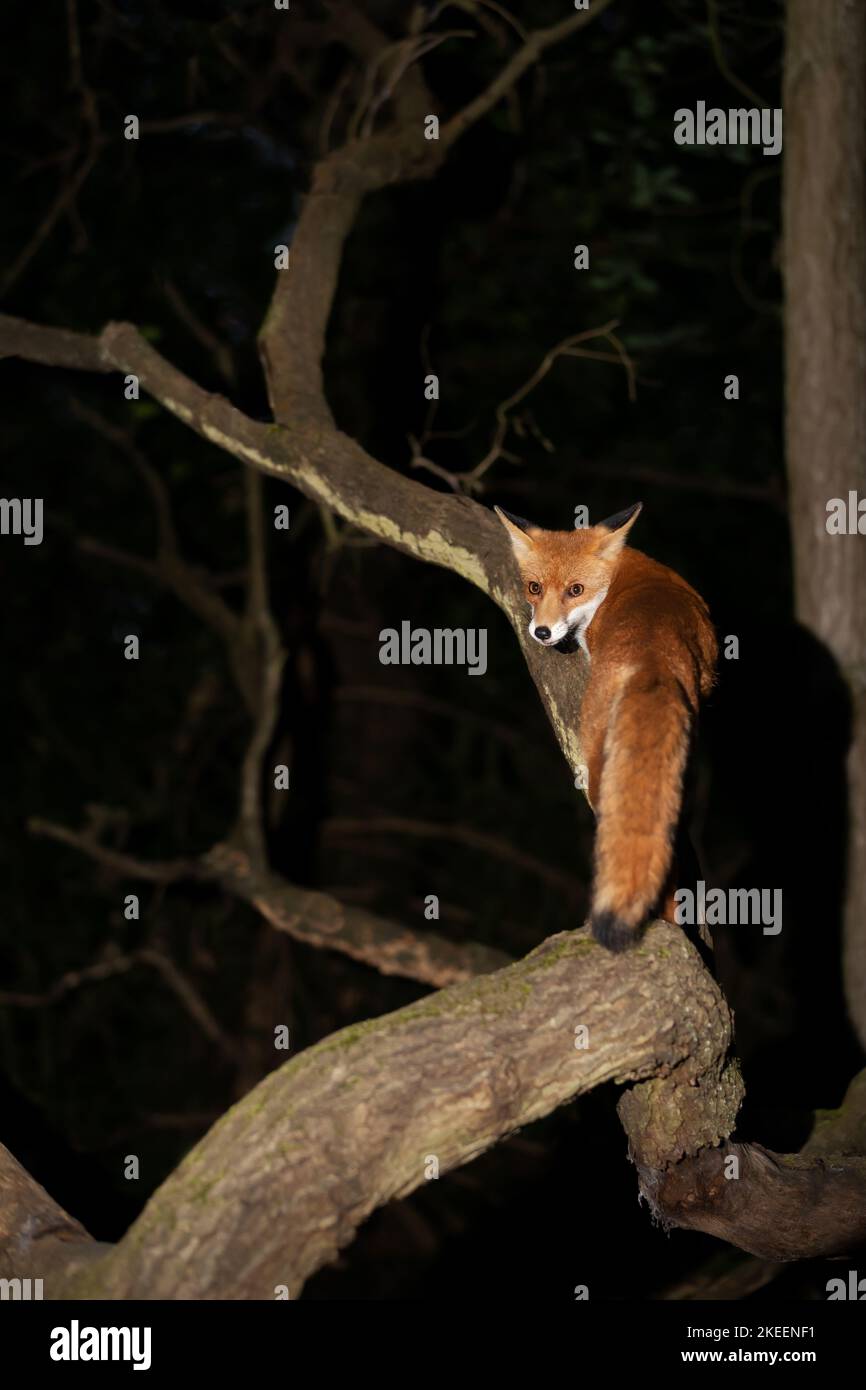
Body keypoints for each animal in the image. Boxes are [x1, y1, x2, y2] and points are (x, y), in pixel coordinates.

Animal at [495, 501, 717, 952]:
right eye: (534, 588)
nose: (541, 632)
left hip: (601, 757)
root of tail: (653, 662)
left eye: (575, 590)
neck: (621, 572)